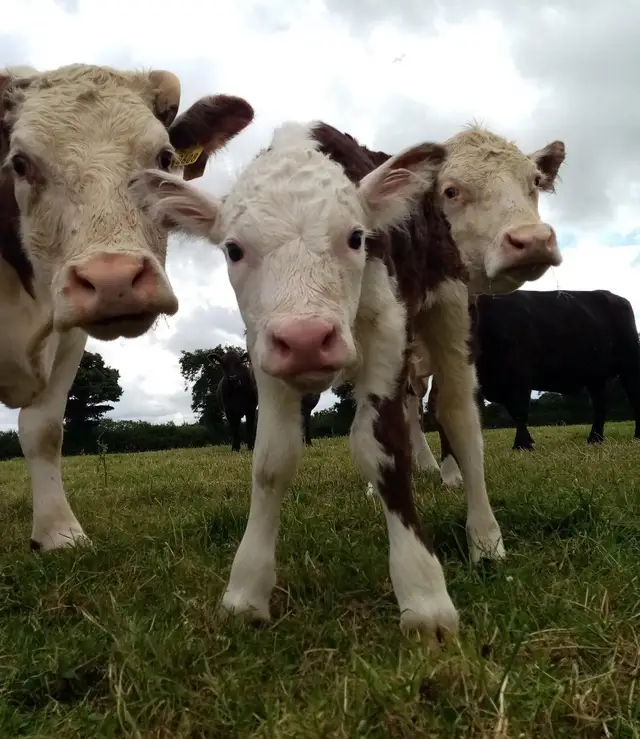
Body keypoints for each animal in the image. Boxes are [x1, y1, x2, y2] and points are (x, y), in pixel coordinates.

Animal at [0, 63, 254, 551]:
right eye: (20, 163)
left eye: (165, 158)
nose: (114, 280)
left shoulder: (69, 336)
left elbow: (44, 430)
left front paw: (59, 533)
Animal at [131, 120, 564, 638]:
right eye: (233, 250)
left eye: (357, 238)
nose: (305, 338)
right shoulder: (265, 349)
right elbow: (272, 459)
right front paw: (246, 592)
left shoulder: (389, 328)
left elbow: (385, 450)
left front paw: (423, 594)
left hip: (452, 310)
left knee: (459, 418)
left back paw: (484, 539)